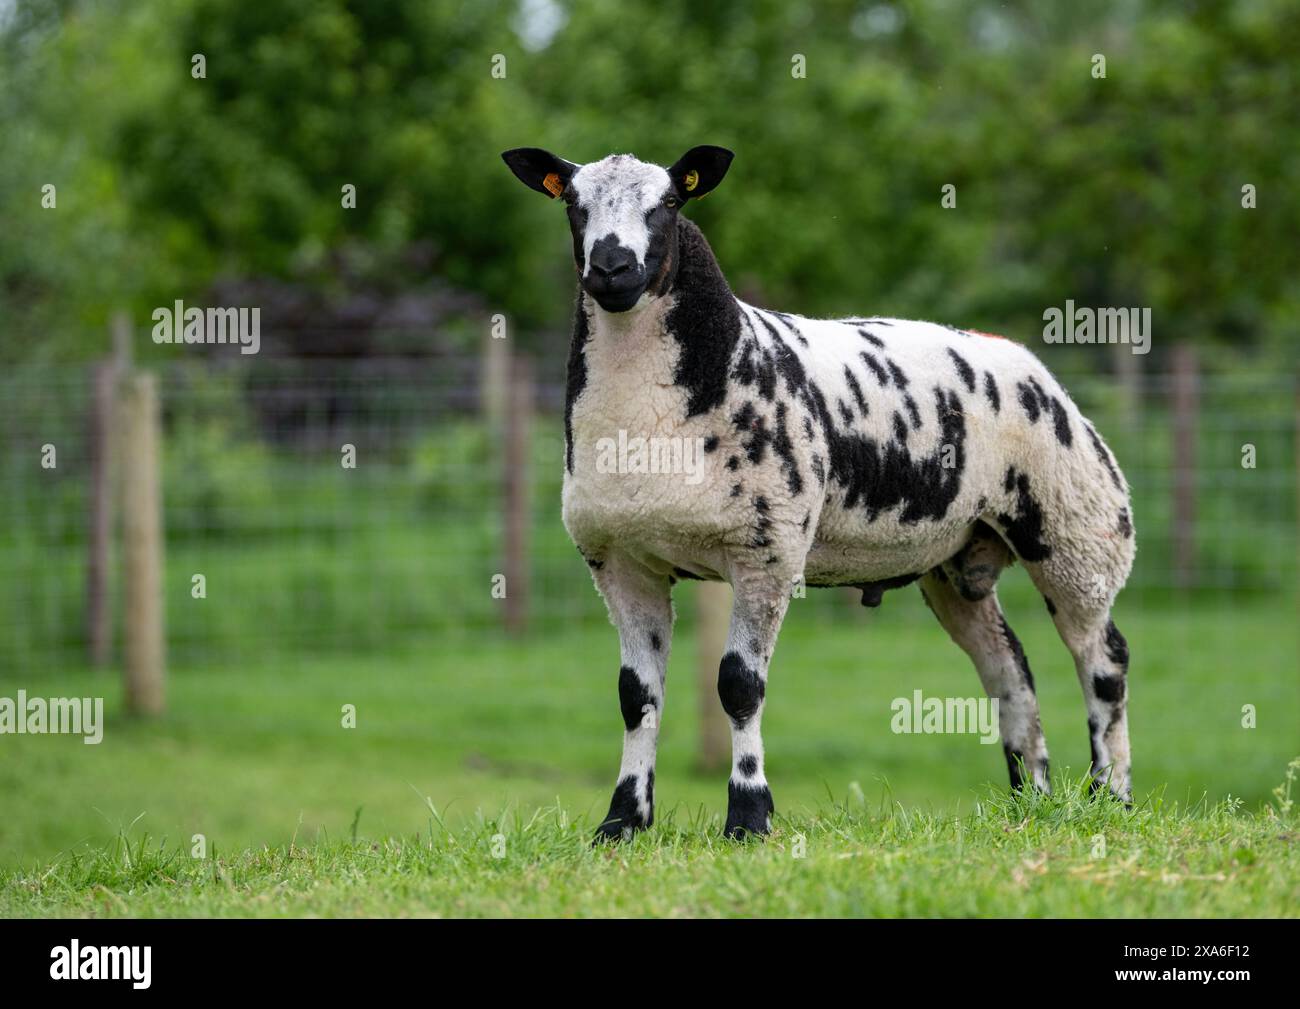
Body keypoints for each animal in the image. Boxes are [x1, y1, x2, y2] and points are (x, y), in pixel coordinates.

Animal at [502, 145, 1136, 840]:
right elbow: (636, 696)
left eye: (669, 202)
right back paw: (1032, 801)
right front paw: (622, 821)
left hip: (1078, 525)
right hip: (956, 561)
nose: (612, 269)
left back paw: (1111, 795)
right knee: (1010, 670)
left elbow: (739, 686)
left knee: (1103, 659)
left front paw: (749, 817)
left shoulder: (768, 549)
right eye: (572, 202)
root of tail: (1022, 359)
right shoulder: (620, 562)